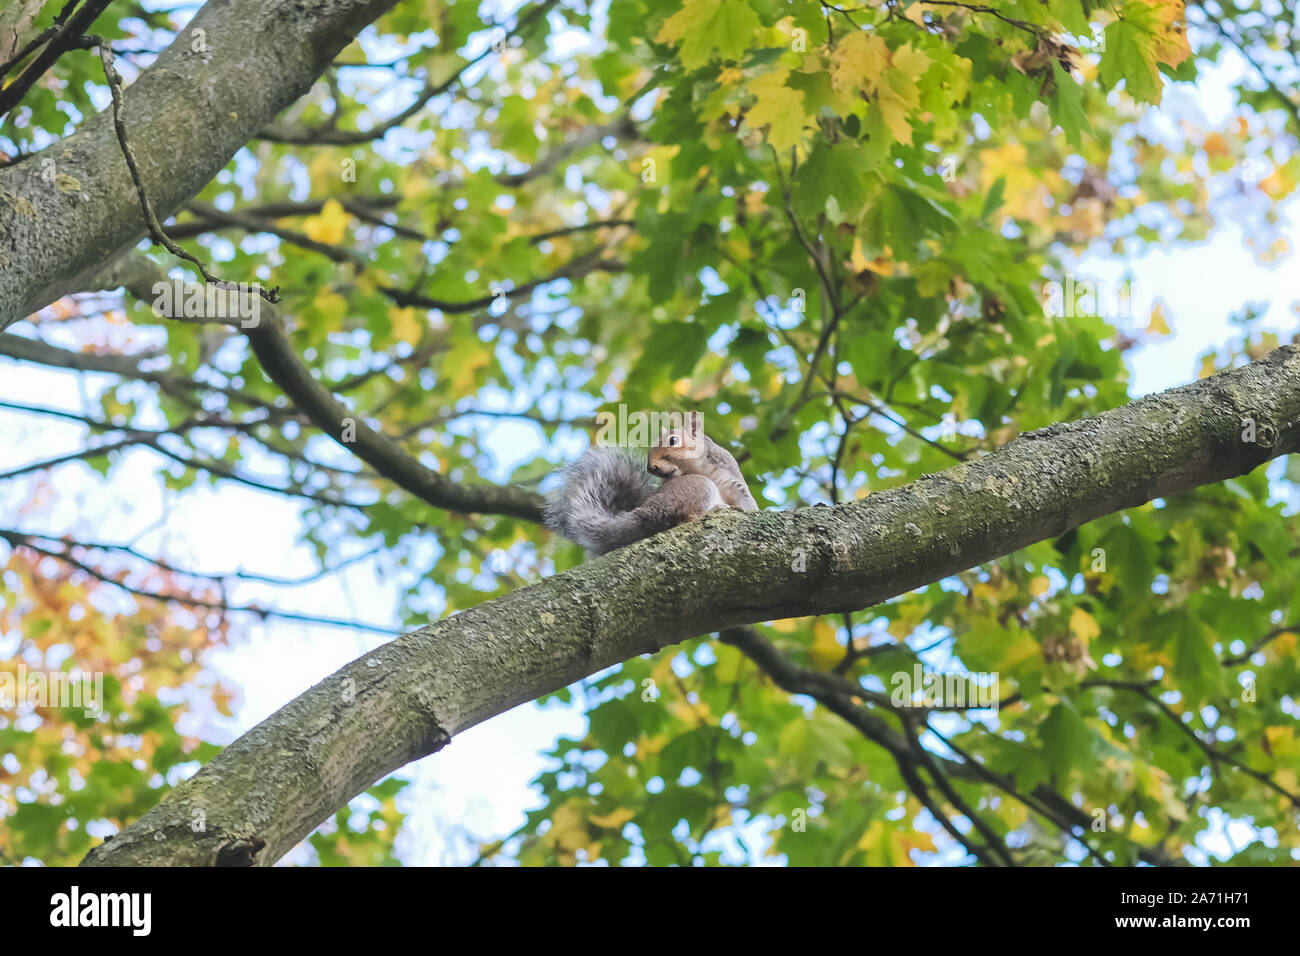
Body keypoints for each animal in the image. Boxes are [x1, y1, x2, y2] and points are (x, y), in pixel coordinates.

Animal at [544, 411, 758, 556]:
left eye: (673, 440)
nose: (651, 467)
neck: (695, 466)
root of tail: (642, 513)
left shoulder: (731, 478)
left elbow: (746, 500)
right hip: (699, 487)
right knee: (685, 517)